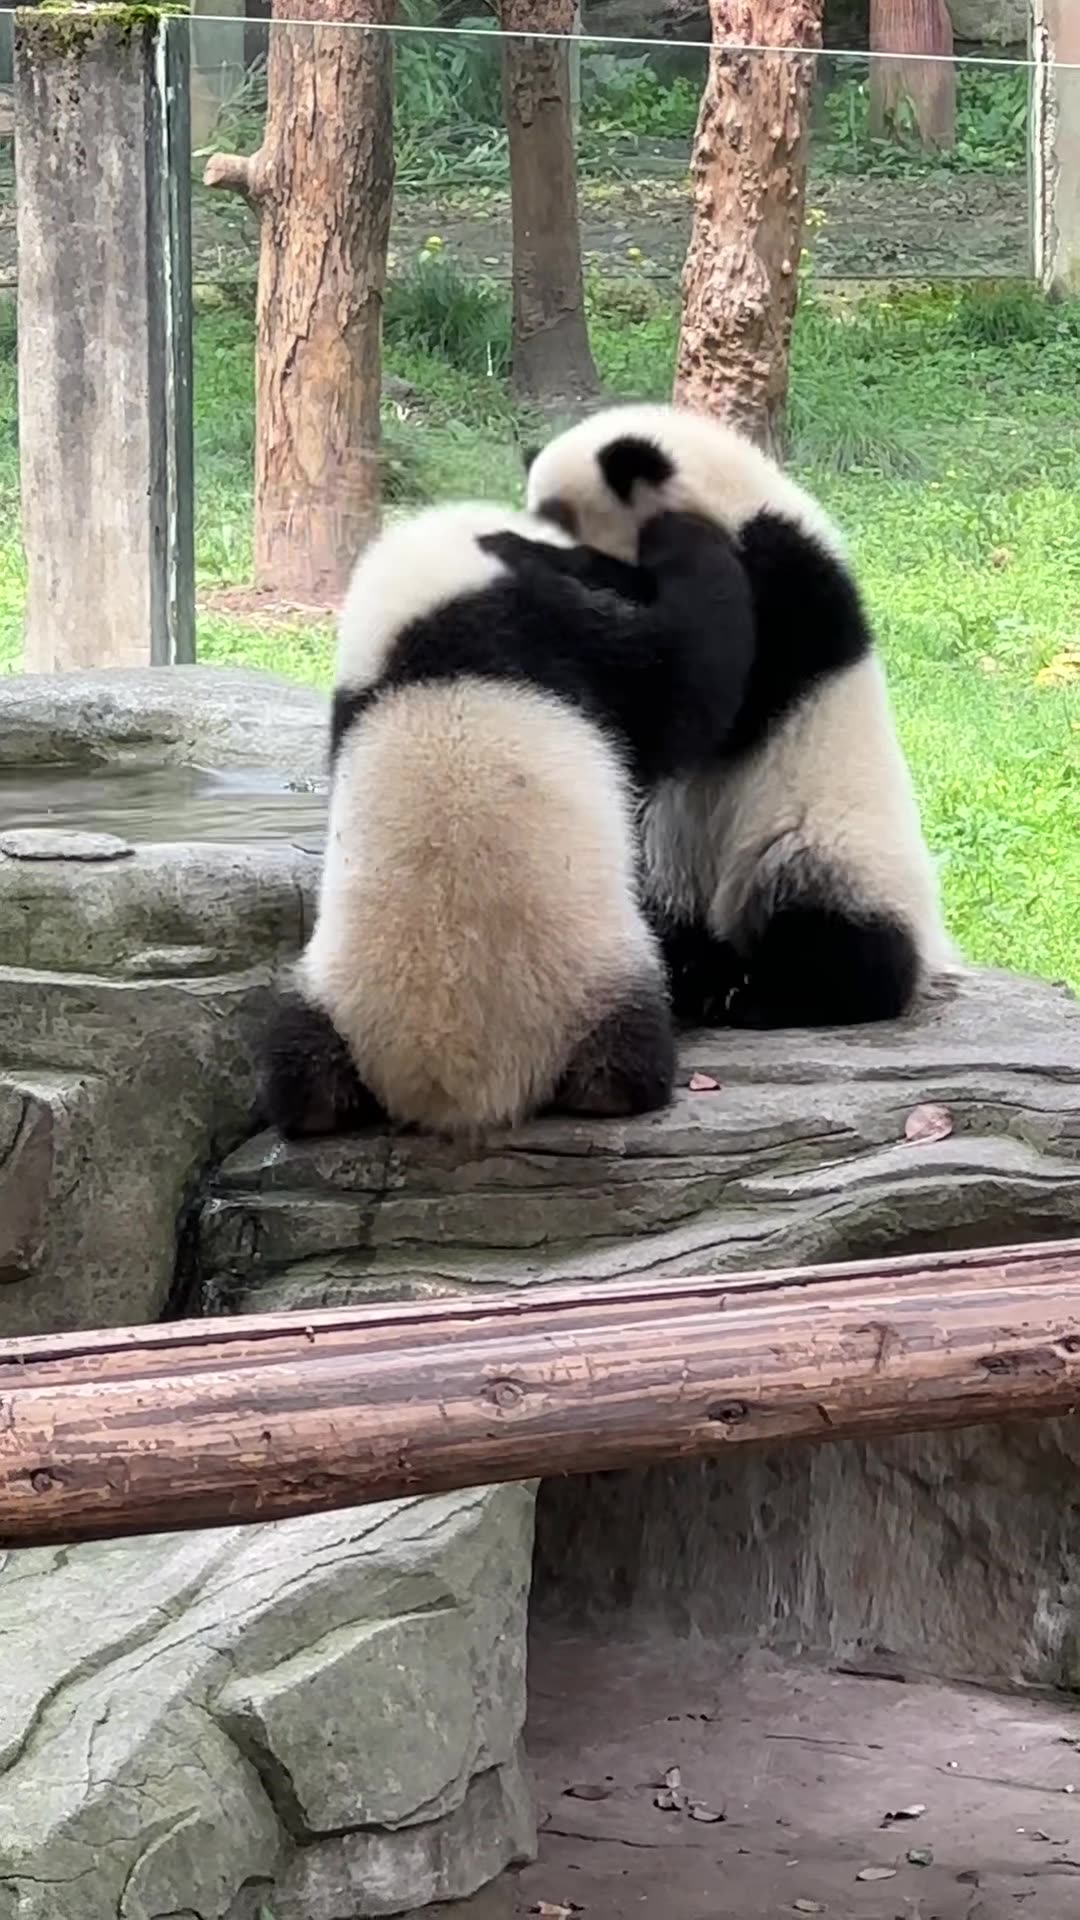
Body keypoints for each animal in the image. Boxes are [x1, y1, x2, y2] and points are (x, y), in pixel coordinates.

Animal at [263, 497, 757, 1140]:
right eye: (589, 558)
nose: (618, 567)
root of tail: (455, 1089)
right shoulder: (550, 629)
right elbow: (681, 676)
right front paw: (683, 536)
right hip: (594, 979)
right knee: (626, 1057)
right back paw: (620, 1087)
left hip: (329, 996)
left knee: (298, 1062)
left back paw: (311, 1107)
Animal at [525, 401, 956, 1031]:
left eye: (558, 517)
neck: (729, 497)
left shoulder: (780, 579)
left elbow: (717, 699)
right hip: (669, 872)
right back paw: (687, 971)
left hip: (826, 846)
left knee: (838, 939)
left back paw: (751, 992)